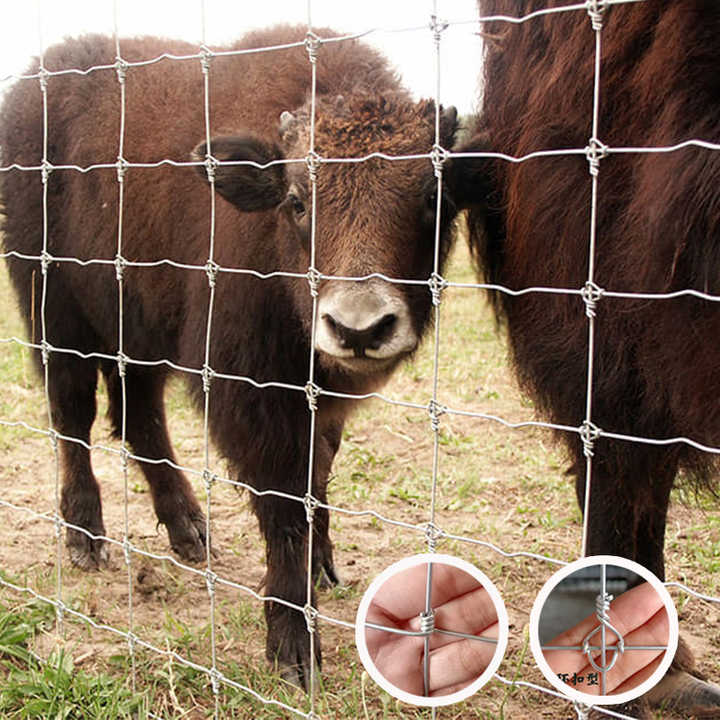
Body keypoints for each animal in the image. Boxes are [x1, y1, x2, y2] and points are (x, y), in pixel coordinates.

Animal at [0, 26, 464, 686]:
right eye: (297, 200)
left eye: (433, 196)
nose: (359, 327)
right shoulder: (252, 397)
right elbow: (283, 502)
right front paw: (294, 647)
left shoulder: (320, 400)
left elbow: (317, 475)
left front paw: (325, 563)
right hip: (54, 311)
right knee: (73, 418)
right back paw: (86, 536)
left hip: (138, 330)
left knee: (138, 416)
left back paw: (190, 530)